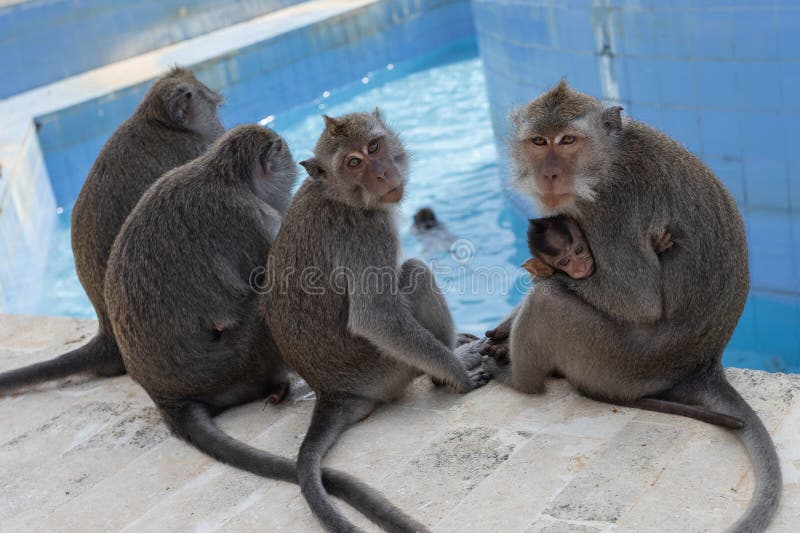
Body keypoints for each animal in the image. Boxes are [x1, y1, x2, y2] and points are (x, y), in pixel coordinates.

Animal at [263, 110, 491, 532]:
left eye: (373, 146)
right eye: (353, 163)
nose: (384, 173)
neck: (339, 194)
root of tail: (331, 394)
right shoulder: (365, 232)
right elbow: (377, 316)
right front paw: (461, 373)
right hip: (384, 369)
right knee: (415, 272)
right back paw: (447, 370)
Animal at [482, 80, 779, 532]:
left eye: (567, 140)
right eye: (539, 142)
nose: (550, 174)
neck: (606, 160)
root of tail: (704, 365)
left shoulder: (610, 211)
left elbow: (637, 300)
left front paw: (535, 283)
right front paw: (500, 325)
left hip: (615, 360)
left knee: (549, 302)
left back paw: (517, 378)